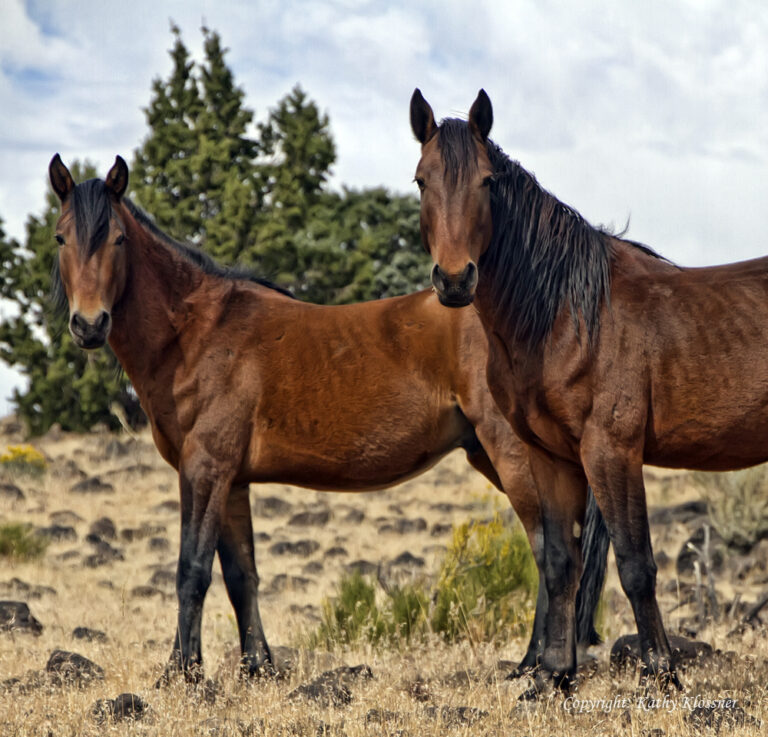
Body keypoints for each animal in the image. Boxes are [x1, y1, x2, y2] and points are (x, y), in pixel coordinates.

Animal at [48, 154, 607, 684]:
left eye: (118, 239)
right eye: (60, 237)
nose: (89, 325)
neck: (195, 333)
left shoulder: (204, 470)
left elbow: (192, 571)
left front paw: (181, 673)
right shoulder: (232, 480)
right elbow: (241, 576)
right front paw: (258, 667)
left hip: (511, 454)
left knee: (550, 551)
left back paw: (535, 666)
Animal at [410, 87, 768, 693]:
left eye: (487, 181)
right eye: (420, 181)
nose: (456, 280)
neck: (568, 315)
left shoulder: (611, 451)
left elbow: (635, 564)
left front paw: (661, 673)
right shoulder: (552, 457)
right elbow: (559, 562)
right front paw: (551, 676)